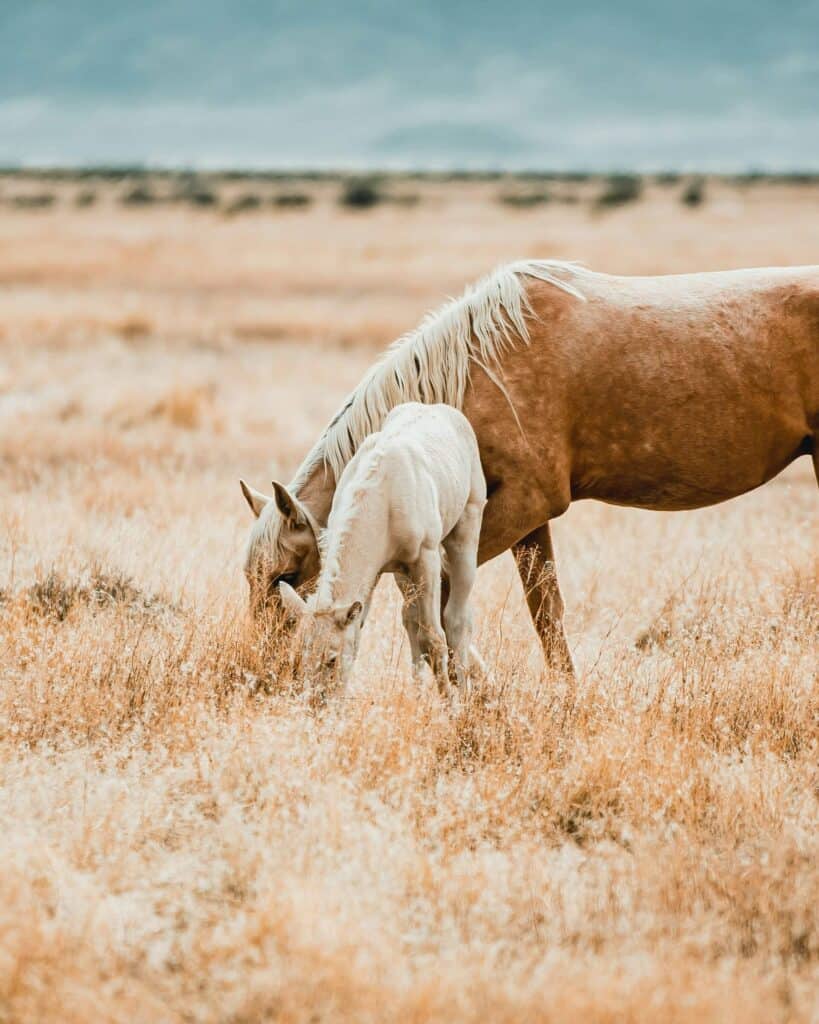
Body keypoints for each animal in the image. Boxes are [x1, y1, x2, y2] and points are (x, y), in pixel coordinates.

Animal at [276, 403, 486, 700]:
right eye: (302, 657)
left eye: (331, 659)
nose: (317, 703)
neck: (384, 493)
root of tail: (445, 411)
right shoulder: (374, 573)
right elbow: (362, 635)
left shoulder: (426, 559)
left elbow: (433, 637)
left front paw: (450, 704)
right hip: (403, 575)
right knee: (410, 620)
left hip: (467, 525)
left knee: (457, 618)